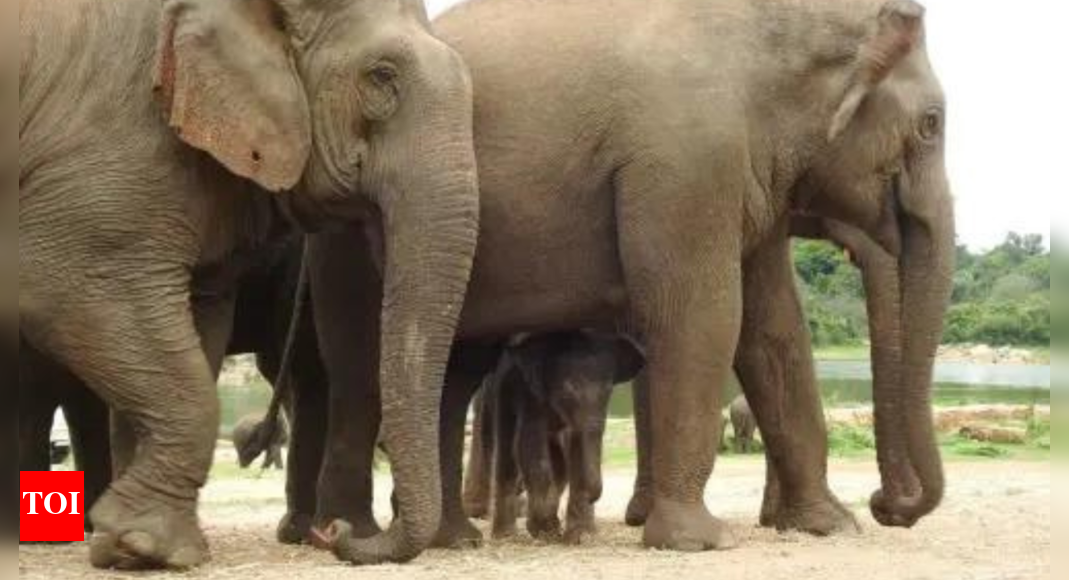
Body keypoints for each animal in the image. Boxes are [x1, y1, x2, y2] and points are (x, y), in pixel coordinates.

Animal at [20, 0, 480, 567]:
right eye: (381, 76)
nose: (338, 535)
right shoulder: (102, 147)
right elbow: (75, 292)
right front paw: (145, 545)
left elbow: (196, 314)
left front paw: (130, 546)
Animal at [481, 331, 644, 544]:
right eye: (567, 390)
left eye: (608, 391)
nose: (593, 495)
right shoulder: (529, 391)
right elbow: (530, 444)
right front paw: (547, 532)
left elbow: (573, 446)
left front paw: (574, 536)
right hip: (500, 390)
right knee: (507, 446)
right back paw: (505, 536)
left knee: (559, 459)